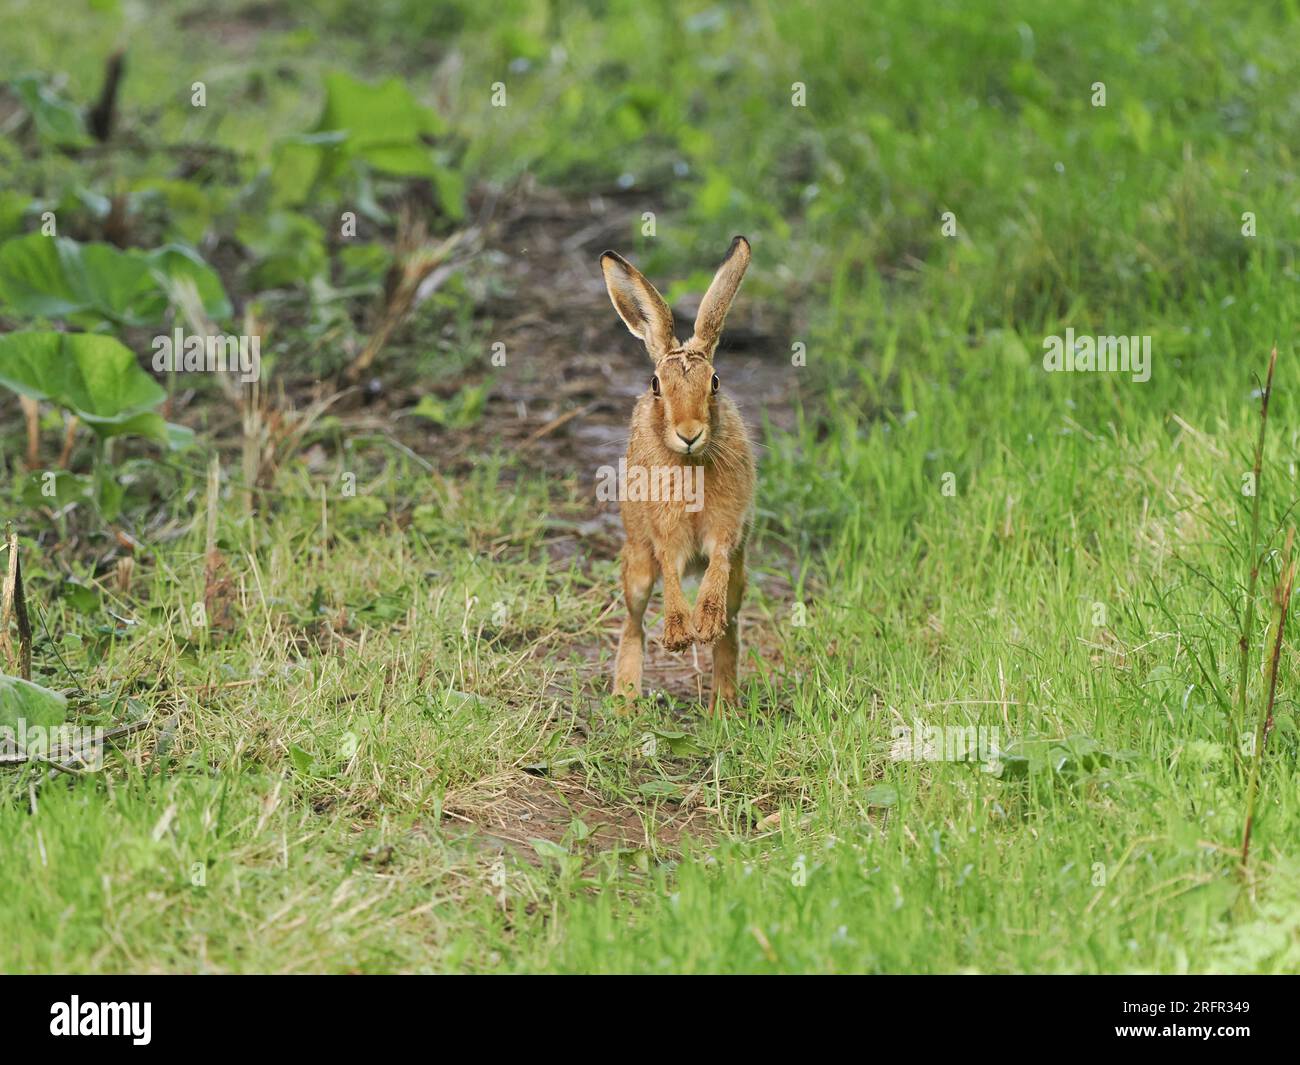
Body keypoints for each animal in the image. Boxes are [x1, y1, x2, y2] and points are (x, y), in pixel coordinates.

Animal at [599, 236, 756, 712]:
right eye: (656, 386)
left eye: (716, 382)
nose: (689, 434)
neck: (690, 465)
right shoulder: (664, 534)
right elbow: (669, 567)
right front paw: (678, 634)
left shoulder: (728, 530)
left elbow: (717, 562)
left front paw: (703, 622)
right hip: (635, 560)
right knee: (633, 622)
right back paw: (625, 697)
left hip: (741, 578)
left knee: (732, 627)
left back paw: (725, 701)